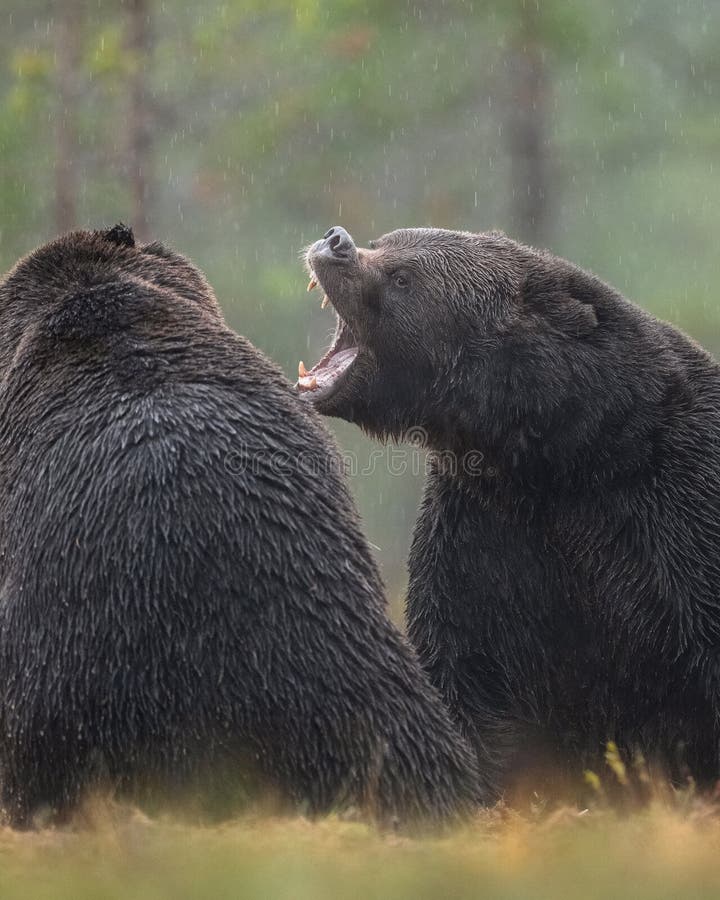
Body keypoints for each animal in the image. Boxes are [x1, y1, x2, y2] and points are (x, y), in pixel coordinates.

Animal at [298, 224, 720, 800]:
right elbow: (470, 670)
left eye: (403, 276)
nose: (336, 241)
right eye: (387, 241)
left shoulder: (668, 521)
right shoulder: (486, 537)